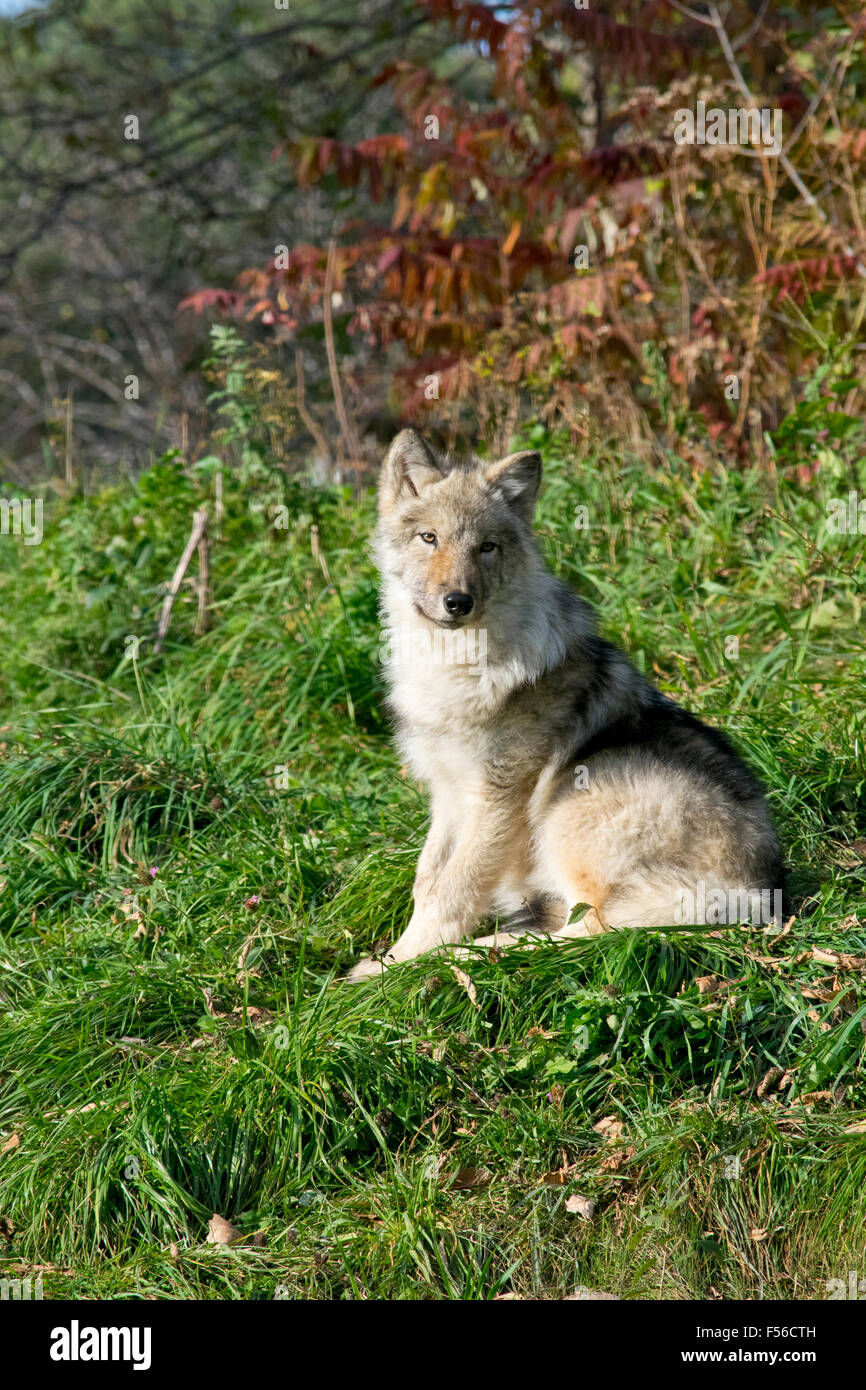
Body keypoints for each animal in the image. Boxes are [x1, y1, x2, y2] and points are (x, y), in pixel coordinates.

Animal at [347, 429, 784, 981]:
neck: (454, 666)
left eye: (486, 547)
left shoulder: (498, 797)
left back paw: (470, 955)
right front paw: (398, 957)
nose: (458, 602)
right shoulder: (447, 793)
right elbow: (426, 882)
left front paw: (396, 968)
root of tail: (762, 895)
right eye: (430, 538)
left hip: (570, 806)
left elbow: (452, 892)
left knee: (592, 934)